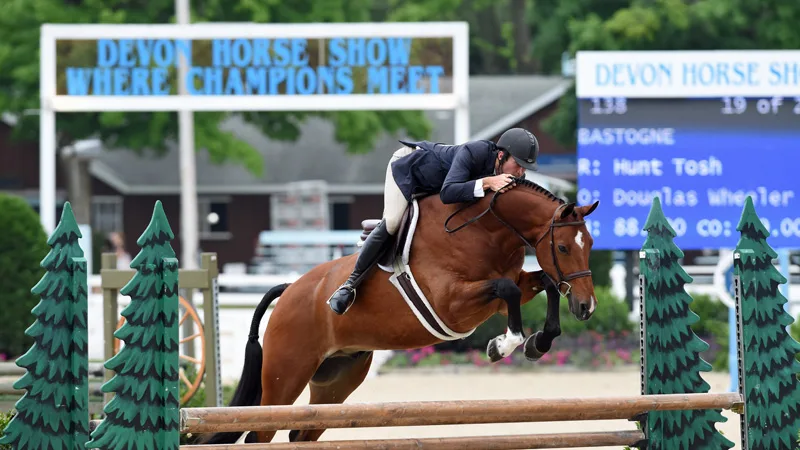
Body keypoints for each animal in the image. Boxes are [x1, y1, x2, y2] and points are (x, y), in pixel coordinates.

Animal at [199, 177, 600, 445]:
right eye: (563, 247)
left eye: (590, 244)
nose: (586, 307)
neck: (484, 228)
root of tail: (289, 290)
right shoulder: (452, 303)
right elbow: (510, 288)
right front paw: (502, 345)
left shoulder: (498, 296)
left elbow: (542, 284)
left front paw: (539, 342)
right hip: (285, 377)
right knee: (259, 433)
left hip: (336, 381)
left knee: (302, 432)